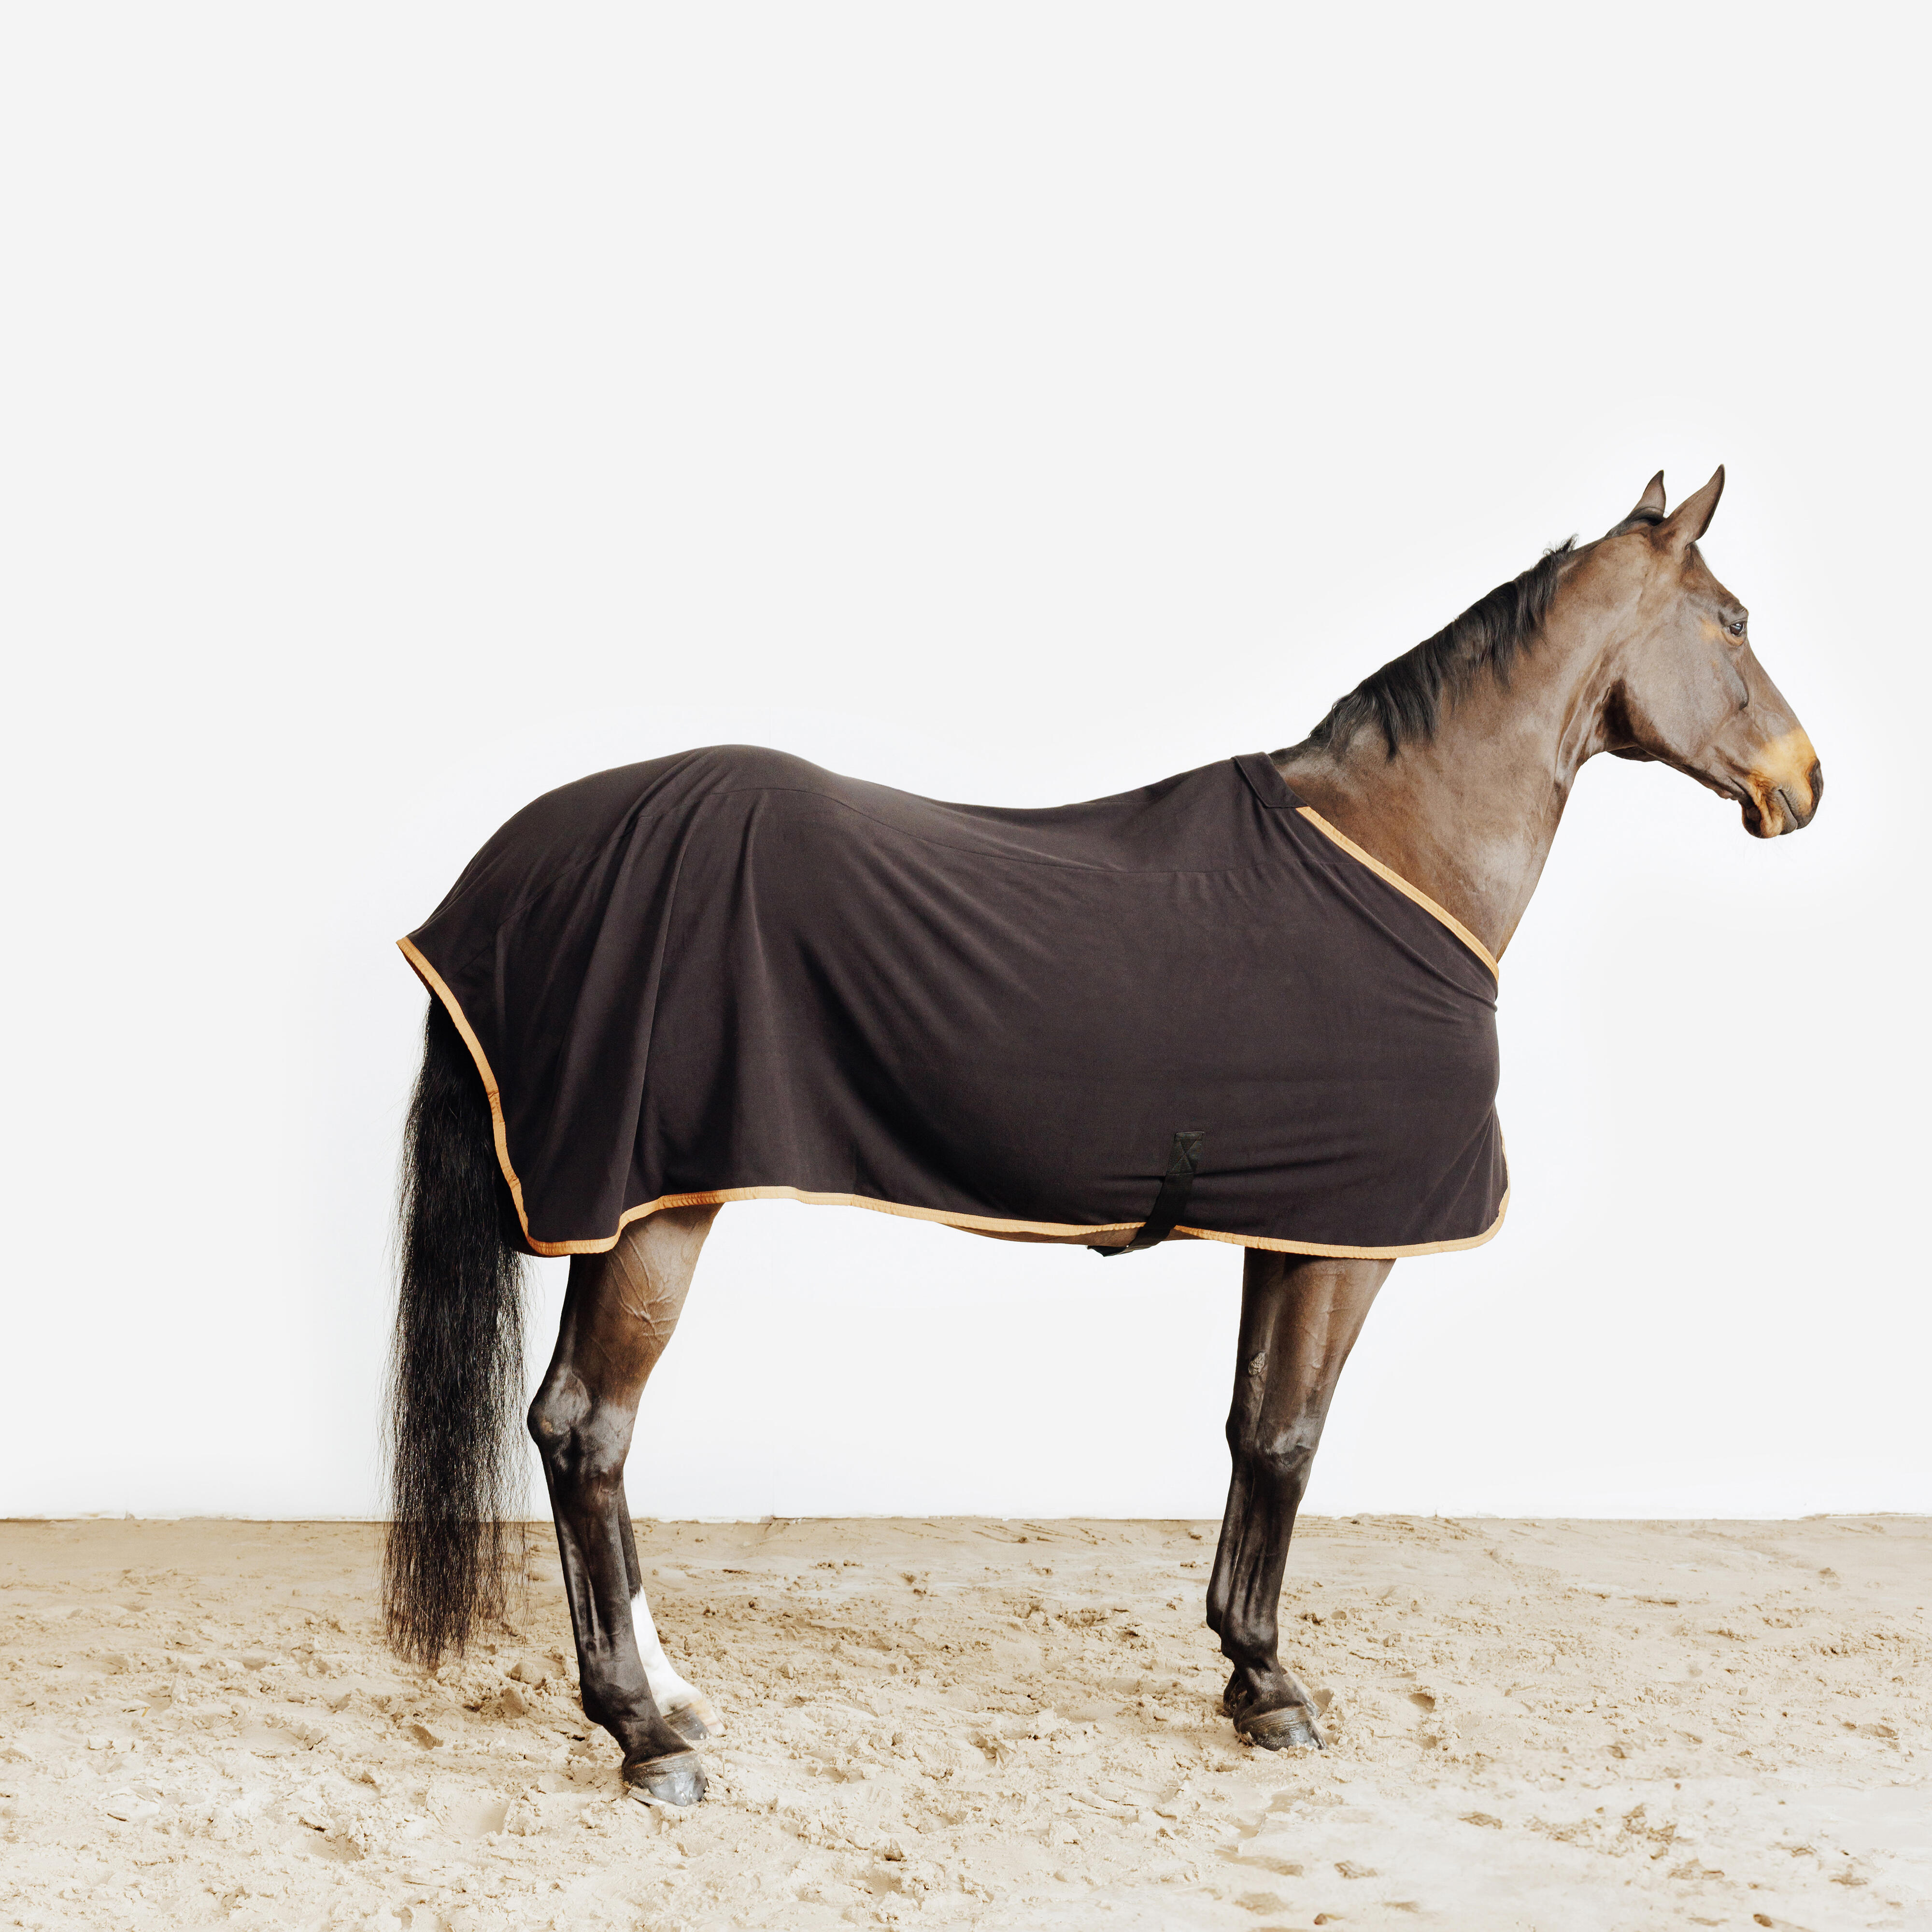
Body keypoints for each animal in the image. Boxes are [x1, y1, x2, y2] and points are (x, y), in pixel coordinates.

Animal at [382, 468, 1819, 1805]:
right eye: (1733, 623)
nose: (1803, 783)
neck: (1396, 852)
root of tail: (516, 866)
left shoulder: (1288, 1222)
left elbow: (1250, 1427)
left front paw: (1241, 1665)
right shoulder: (1352, 1240)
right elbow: (1293, 1440)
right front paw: (1276, 1688)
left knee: (586, 1435)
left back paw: (672, 1697)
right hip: (658, 1209)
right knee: (588, 1432)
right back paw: (646, 1732)